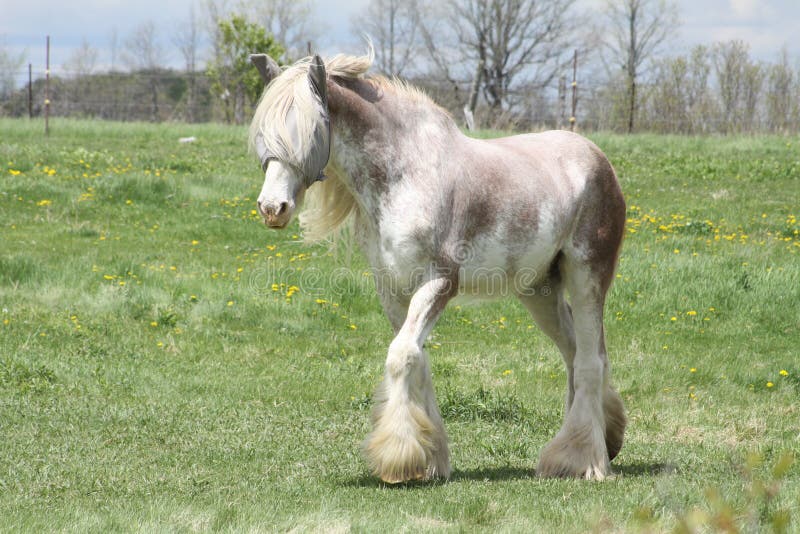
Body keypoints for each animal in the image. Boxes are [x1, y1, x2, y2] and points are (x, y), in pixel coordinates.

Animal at [247, 50, 627, 483]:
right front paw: (429, 460)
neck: (405, 175)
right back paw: (599, 442)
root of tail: (599, 160)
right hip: (540, 292)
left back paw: (583, 461)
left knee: (590, 361)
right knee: (575, 353)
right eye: (262, 134)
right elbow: (417, 359)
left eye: (309, 133)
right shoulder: (393, 289)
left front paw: (398, 458)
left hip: (587, 277)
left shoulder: (439, 283)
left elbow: (401, 355)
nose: (272, 208)